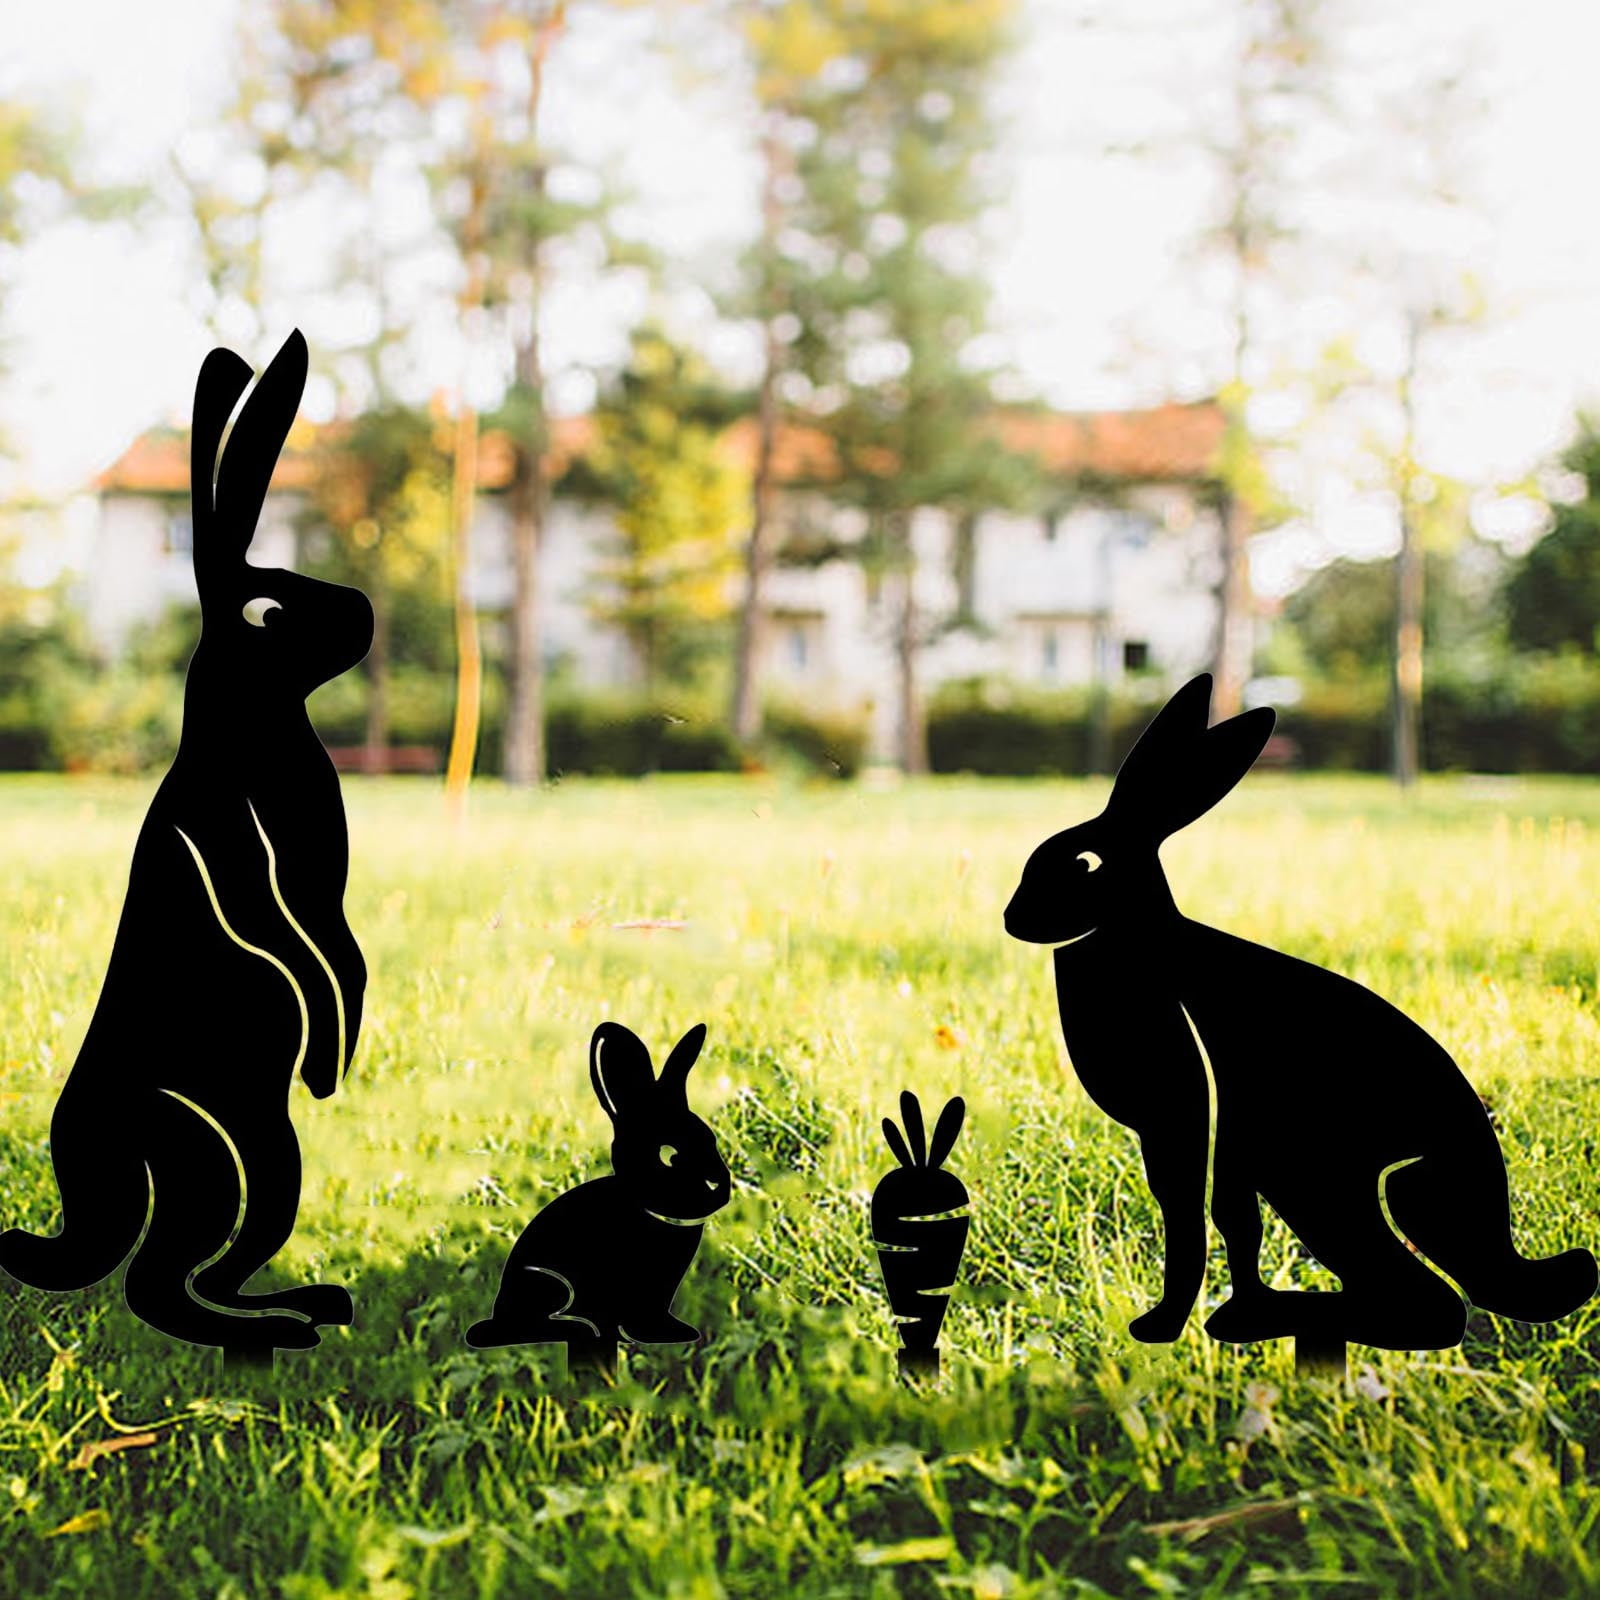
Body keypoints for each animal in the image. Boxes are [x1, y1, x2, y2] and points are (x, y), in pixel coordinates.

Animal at [0, 329, 372, 1356]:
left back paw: (303, 1311)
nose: (366, 611)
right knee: (163, 1284)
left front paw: (333, 1064)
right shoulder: (236, 846)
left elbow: (344, 955)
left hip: (261, 1160)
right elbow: (282, 934)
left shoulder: (323, 896)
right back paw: (274, 1330)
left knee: (209, 1269)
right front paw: (325, 1061)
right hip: (202, 1152)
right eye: (266, 611)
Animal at [1004, 673, 1597, 1352]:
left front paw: (1164, 1326)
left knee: (1429, 1305)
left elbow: (1205, 1212)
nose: (1012, 919)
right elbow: (1214, 1214)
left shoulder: (1188, 1107)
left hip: (1313, 1178)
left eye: (1084, 864)